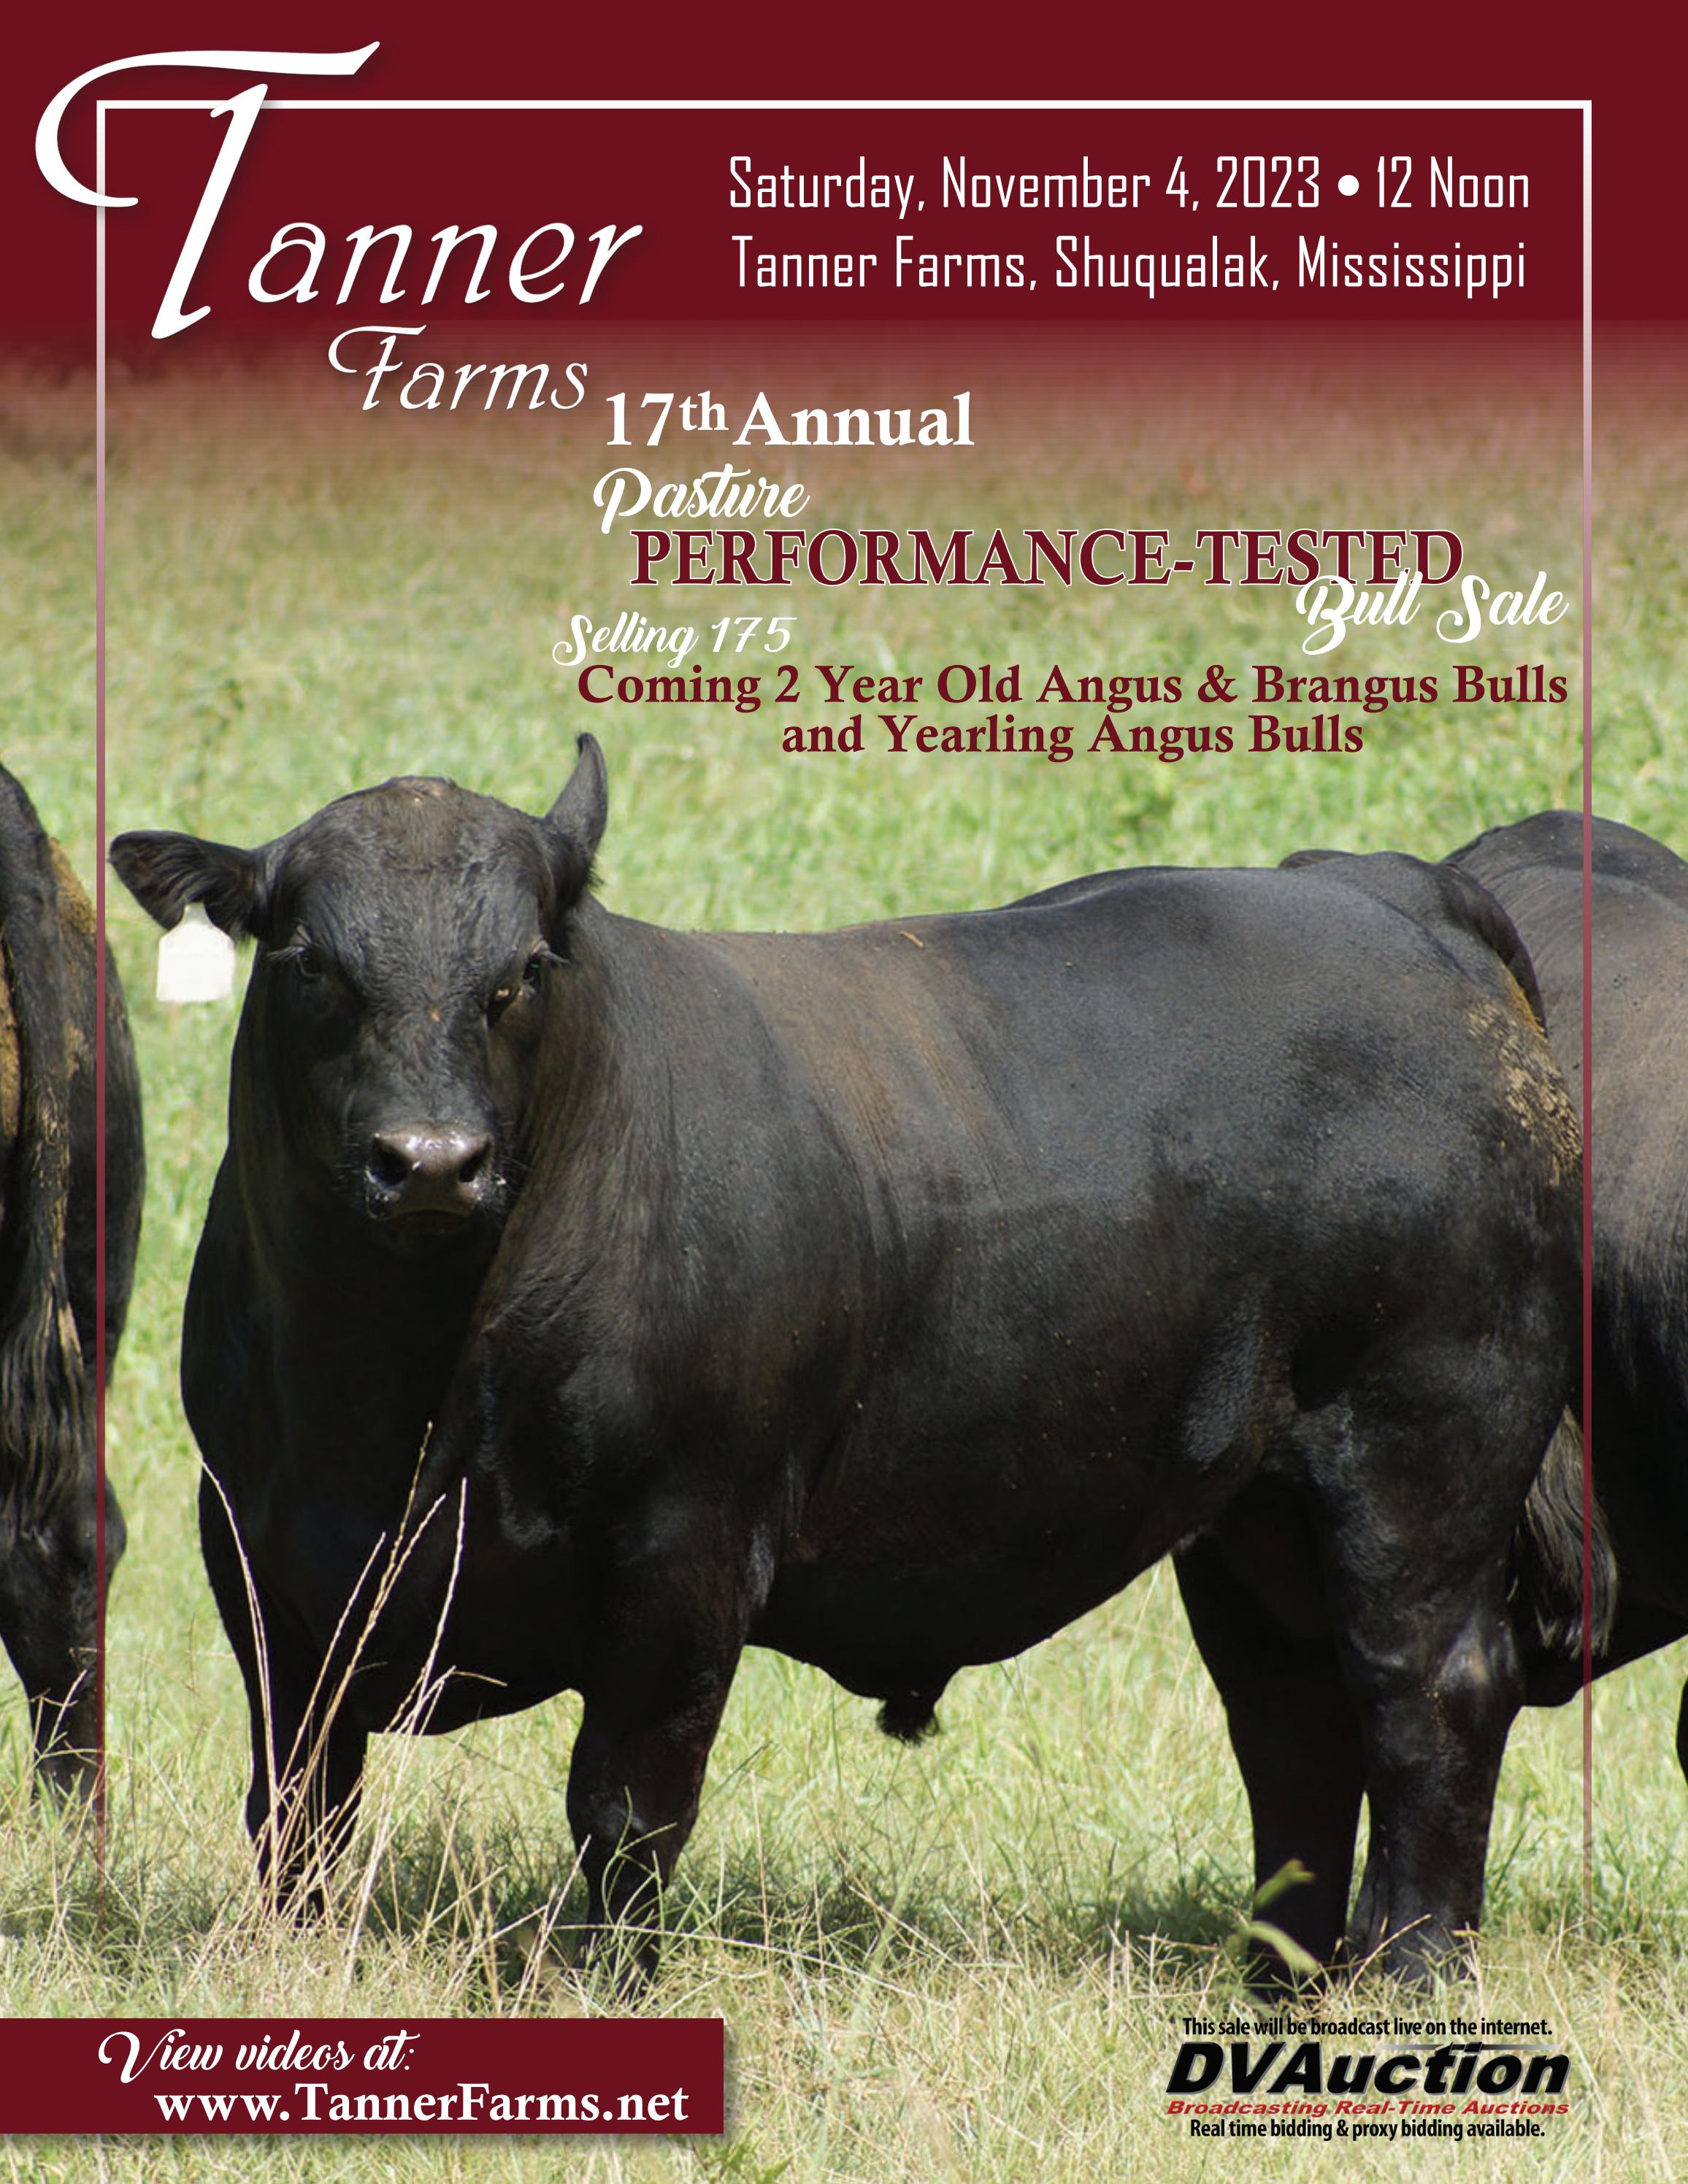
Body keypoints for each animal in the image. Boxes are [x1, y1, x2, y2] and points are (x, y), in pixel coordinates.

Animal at [110, 737, 1587, 1986]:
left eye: (520, 969)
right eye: (310, 961)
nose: (430, 1162)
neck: (408, 1401)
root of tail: (1380, 889)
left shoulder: (685, 1544)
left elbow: (626, 1802)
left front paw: (606, 1980)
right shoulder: (255, 1546)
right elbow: (297, 1792)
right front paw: (290, 1959)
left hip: (1422, 1448)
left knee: (1428, 1687)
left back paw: (1407, 1970)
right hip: (1257, 1514)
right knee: (1291, 1716)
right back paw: (1281, 1972)